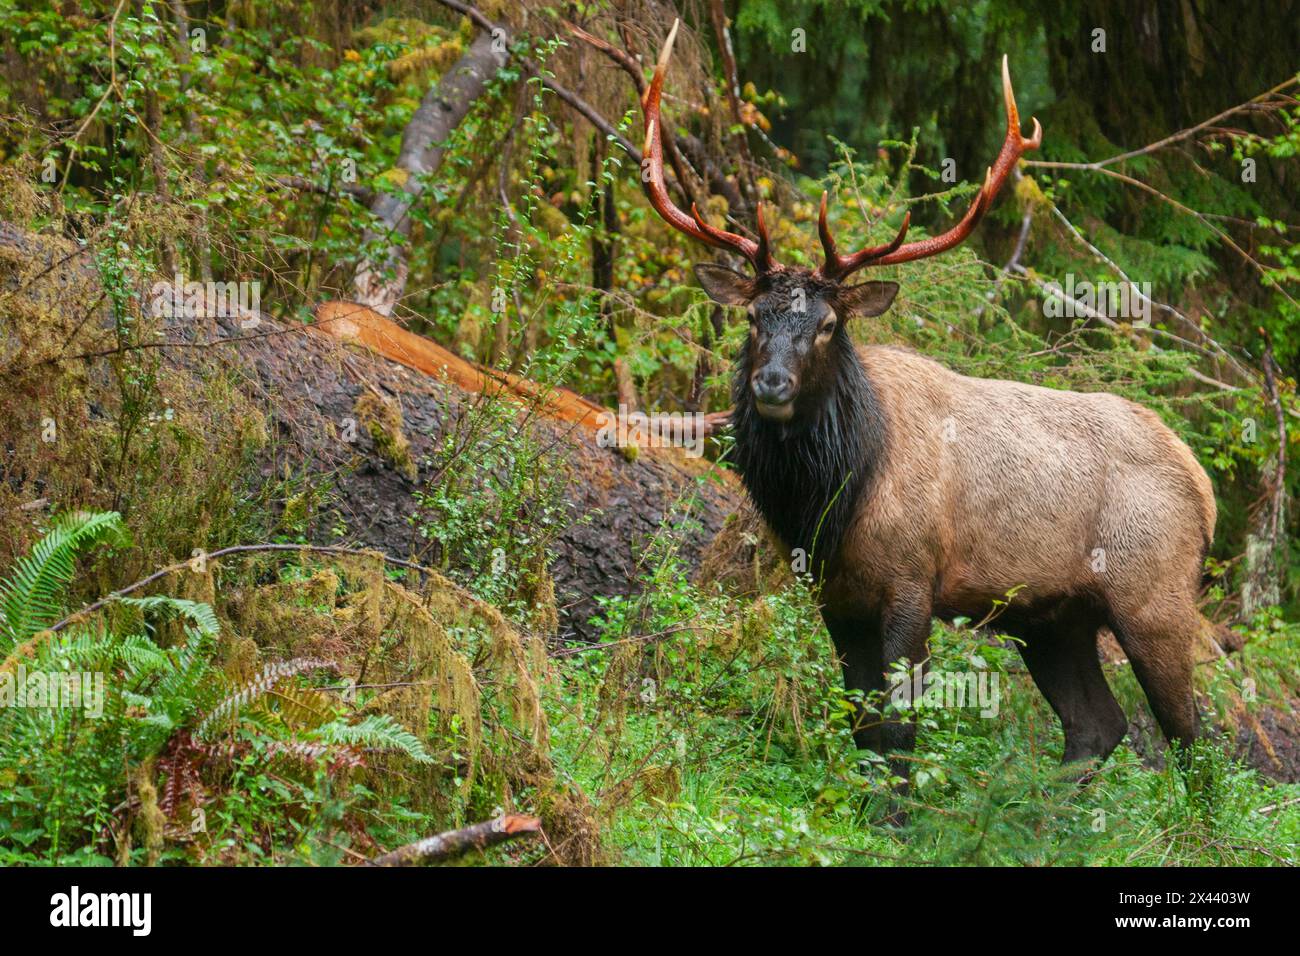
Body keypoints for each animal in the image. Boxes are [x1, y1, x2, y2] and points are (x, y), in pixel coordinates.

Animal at [635, 21, 1216, 783]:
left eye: (829, 324)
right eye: (755, 317)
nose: (772, 385)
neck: (833, 496)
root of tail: (1203, 486)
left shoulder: (912, 580)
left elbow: (900, 729)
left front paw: (897, 808)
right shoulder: (835, 594)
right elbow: (862, 727)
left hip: (1155, 594)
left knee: (1195, 746)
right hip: (1052, 617)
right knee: (1097, 725)